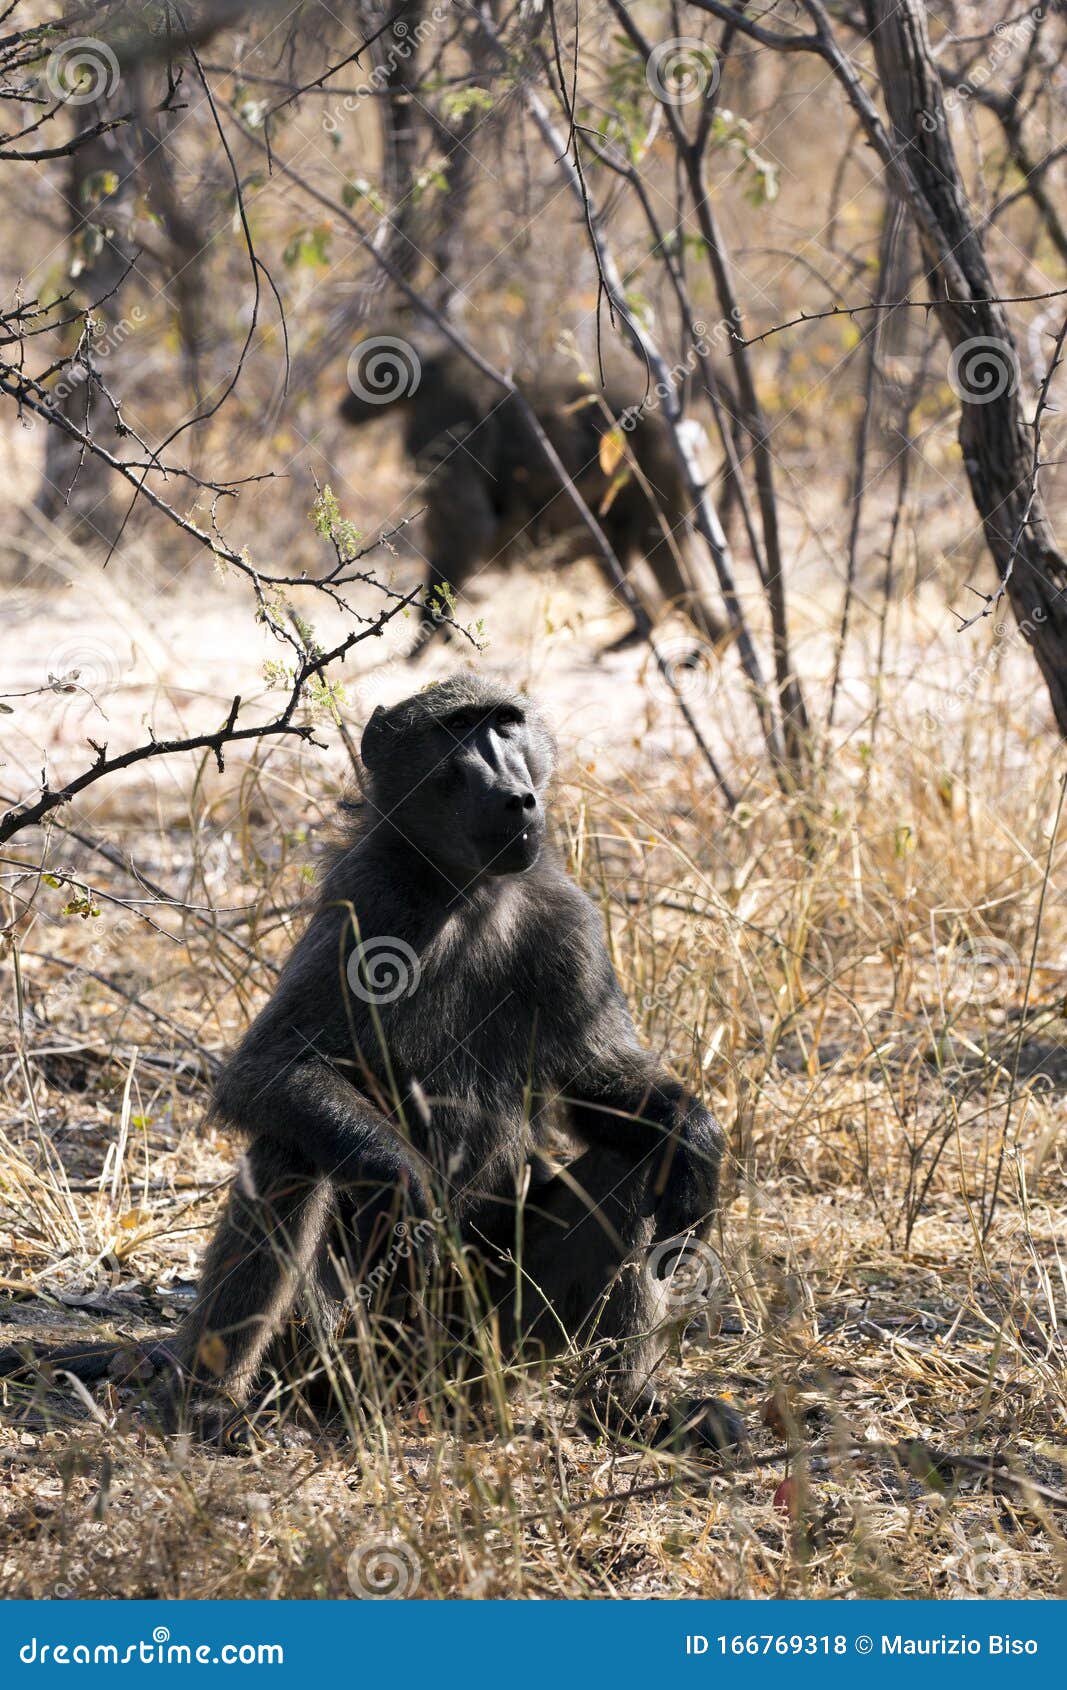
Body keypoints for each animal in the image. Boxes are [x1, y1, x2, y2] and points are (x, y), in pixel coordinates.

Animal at [1, 676, 741, 1455]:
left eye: (507, 724)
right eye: (460, 729)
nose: (517, 796)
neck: (464, 889)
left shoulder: (570, 923)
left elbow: (604, 1086)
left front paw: (698, 1142)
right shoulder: (367, 897)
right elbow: (268, 1069)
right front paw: (402, 1178)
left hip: (491, 1347)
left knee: (640, 1165)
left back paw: (628, 1409)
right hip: (340, 1343)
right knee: (289, 1148)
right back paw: (205, 1402)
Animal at [339, 345, 728, 658]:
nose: (346, 407)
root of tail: (675, 429)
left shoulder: (442, 426)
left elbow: (471, 527)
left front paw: (422, 645)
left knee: (657, 552)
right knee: (620, 557)